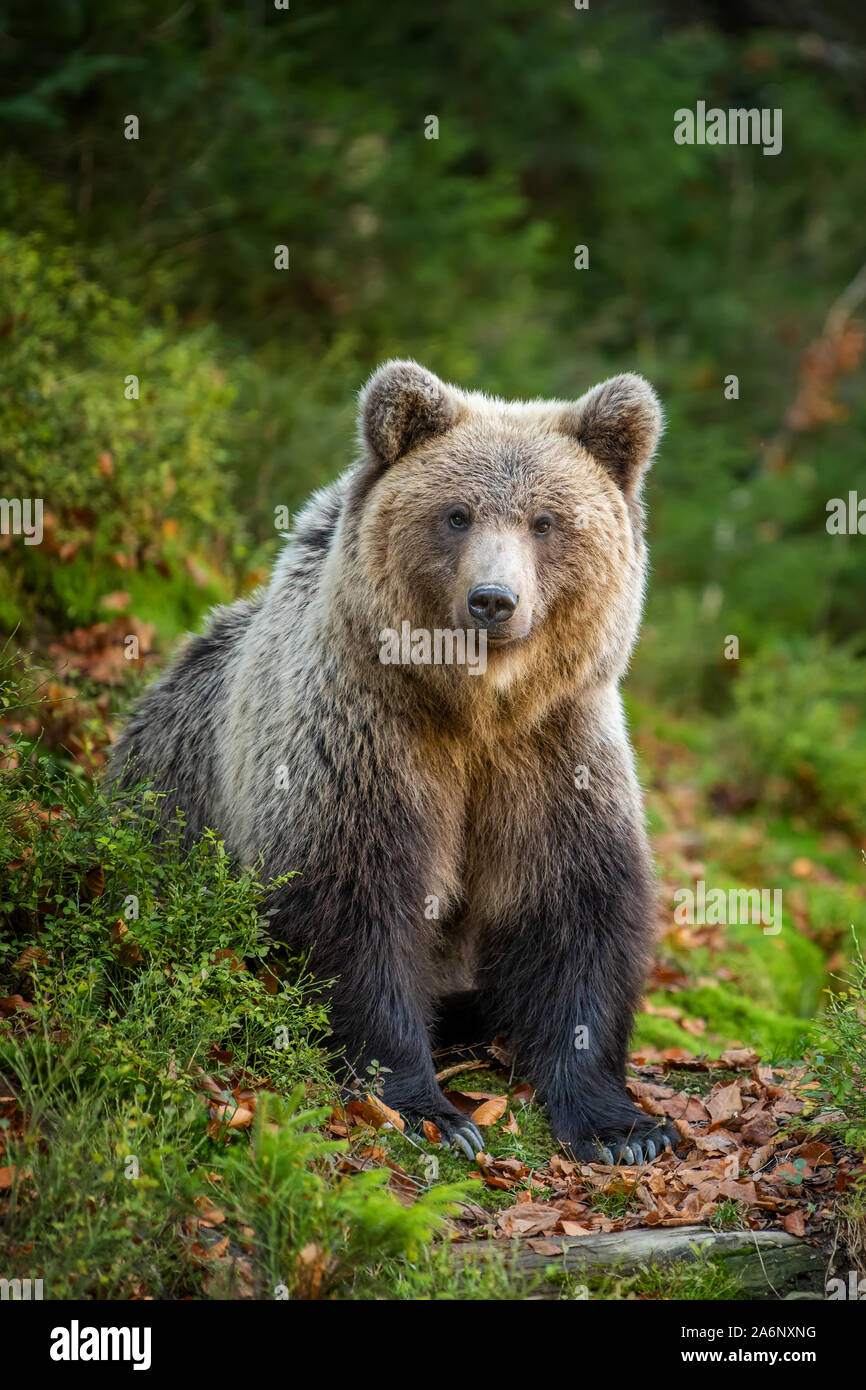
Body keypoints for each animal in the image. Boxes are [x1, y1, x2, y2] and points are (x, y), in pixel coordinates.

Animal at [110, 359, 681, 1164]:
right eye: (457, 514)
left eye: (546, 521)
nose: (493, 600)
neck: (475, 707)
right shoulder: (365, 735)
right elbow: (357, 901)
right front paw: (430, 1111)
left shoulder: (553, 749)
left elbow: (577, 909)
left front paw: (623, 1129)